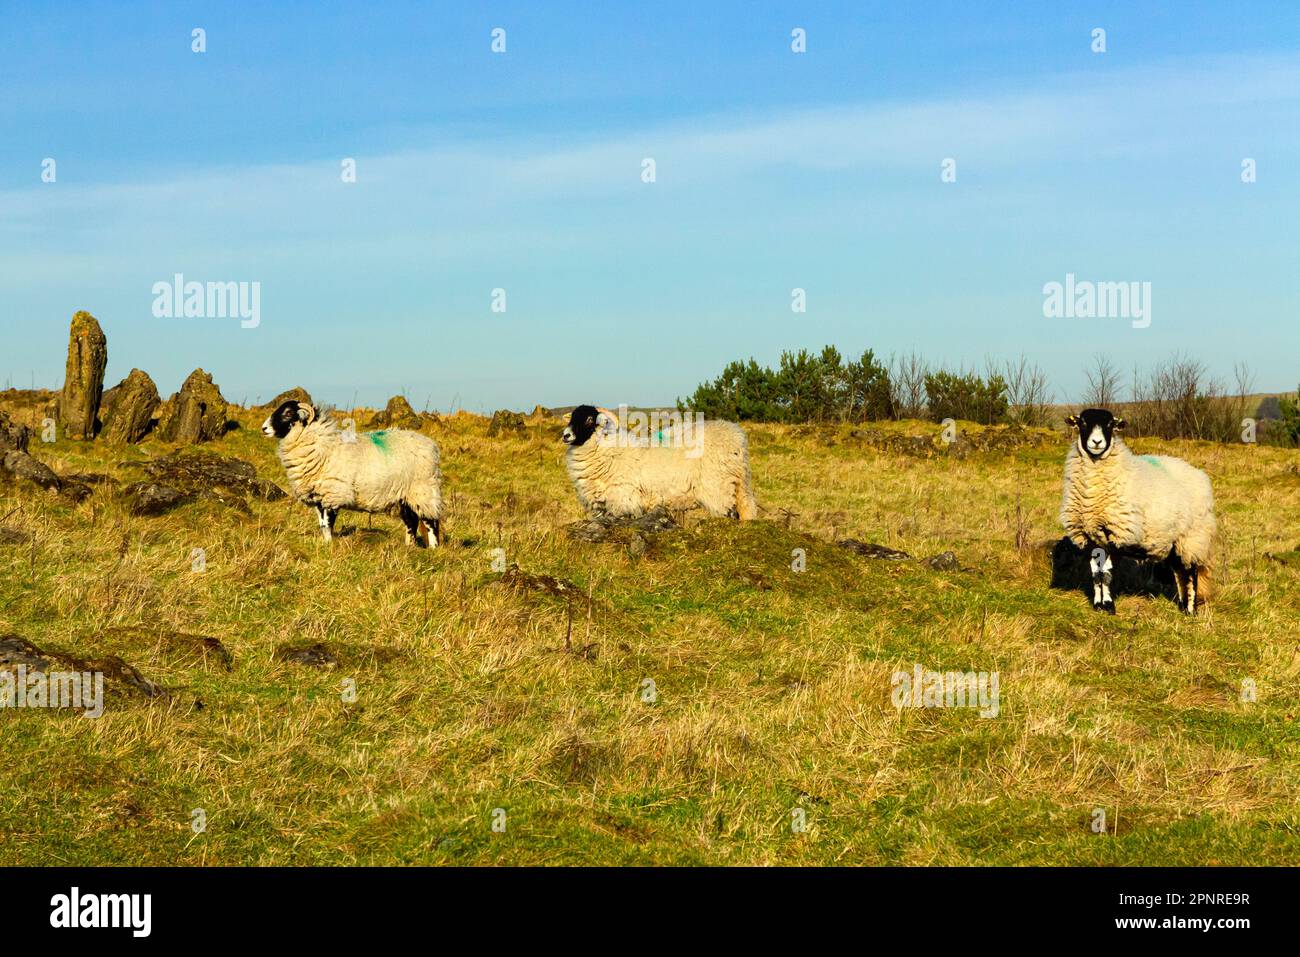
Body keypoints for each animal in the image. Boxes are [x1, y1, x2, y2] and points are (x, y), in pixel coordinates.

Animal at [261, 400, 443, 547]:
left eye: (288, 413)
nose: (264, 428)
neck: (324, 446)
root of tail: (431, 445)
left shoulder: (333, 494)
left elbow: (327, 524)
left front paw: (329, 546)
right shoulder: (318, 497)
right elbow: (322, 524)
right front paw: (325, 544)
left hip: (423, 490)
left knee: (431, 521)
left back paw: (433, 548)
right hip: (404, 496)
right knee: (411, 521)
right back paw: (409, 547)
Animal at [560, 405, 758, 520]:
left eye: (589, 419)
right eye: (572, 418)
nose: (565, 435)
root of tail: (734, 434)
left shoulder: (622, 498)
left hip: (718, 485)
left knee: (730, 512)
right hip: (740, 485)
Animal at [1059, 408, 1215, 615]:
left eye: (1110, 424)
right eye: (1083, 422)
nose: (1097, 442)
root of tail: (1199, 474)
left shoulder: (1117, 535)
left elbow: (1106, 574)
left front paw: (1108, 606)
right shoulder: (1090, 537)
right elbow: (1096, 575)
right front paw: (1098, 605)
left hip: (1192, 537)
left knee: (1190, 572)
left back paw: (1190, 610)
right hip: (1174, 540)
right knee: (1179, 571)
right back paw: (1182, 605)